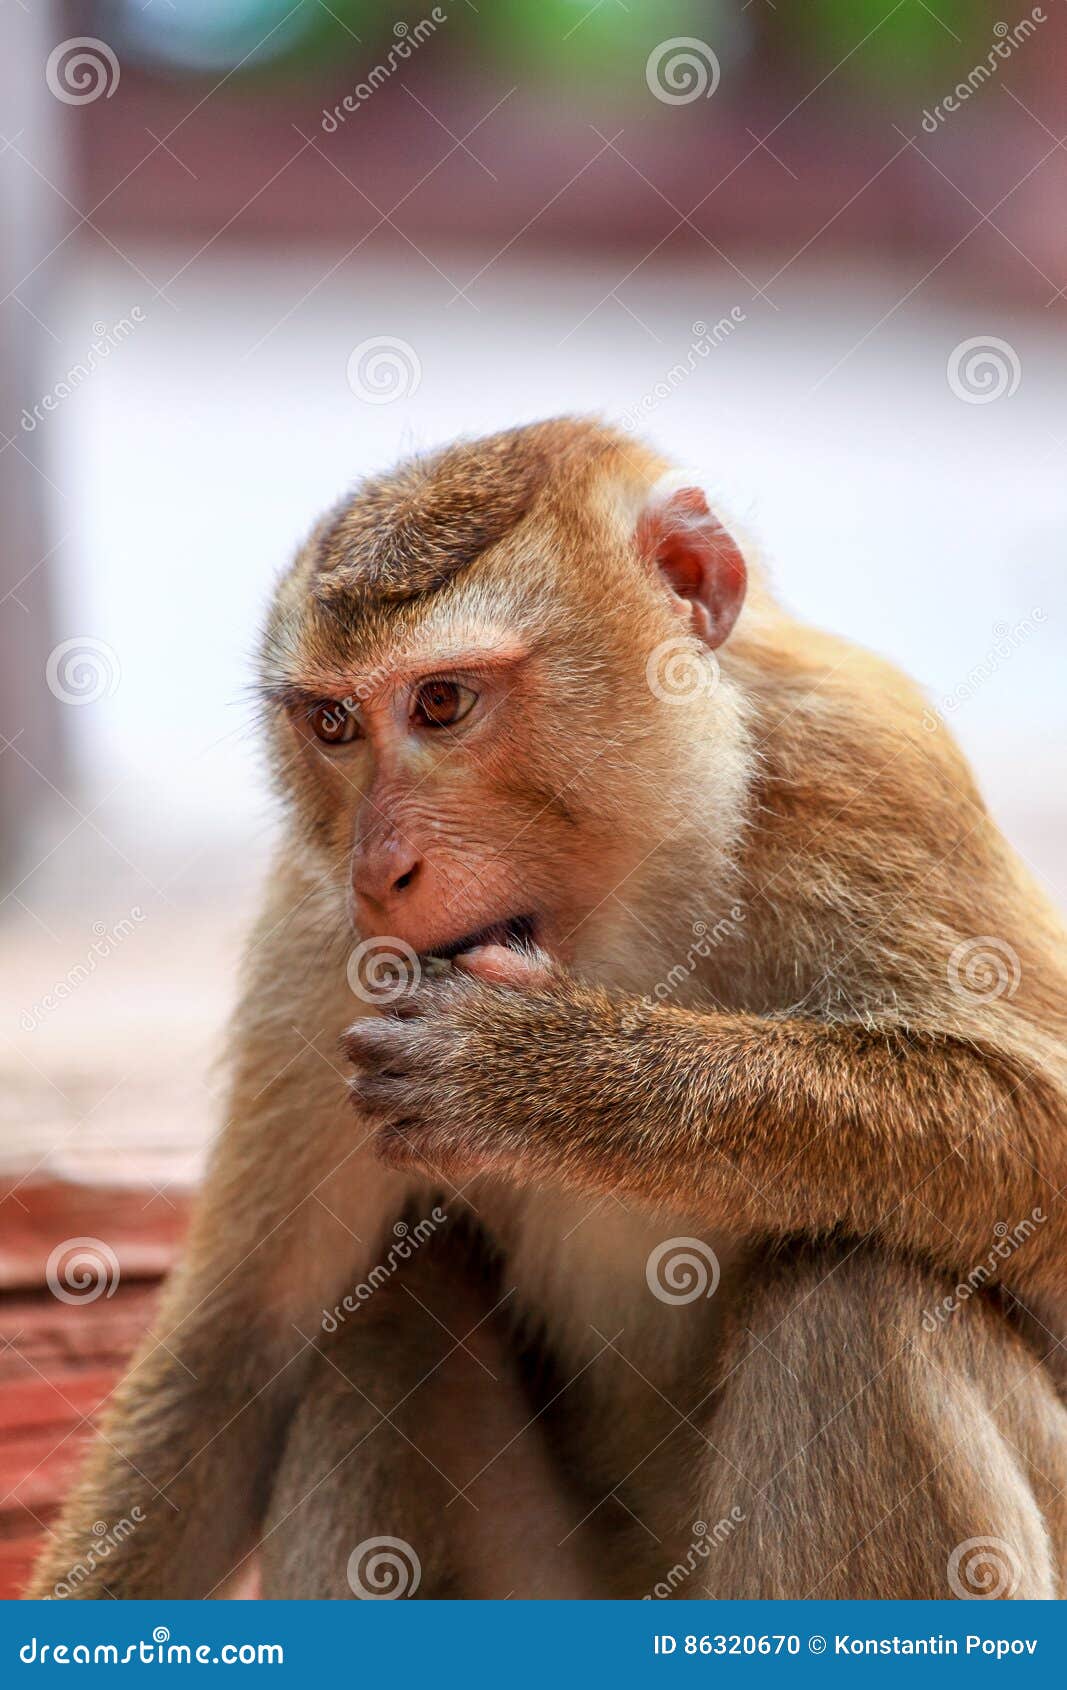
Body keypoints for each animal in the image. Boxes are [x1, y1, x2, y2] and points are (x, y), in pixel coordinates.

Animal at [27, 416, 1067, 1601]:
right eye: (333, 723)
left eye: (440, 703)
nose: (380, 870)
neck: (636, 906)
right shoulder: (316, 927)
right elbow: (240, 1353)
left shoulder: (871, 763)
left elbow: (1043, 1136)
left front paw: (540, 1078)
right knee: (392, 1309)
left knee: (854, 1301)